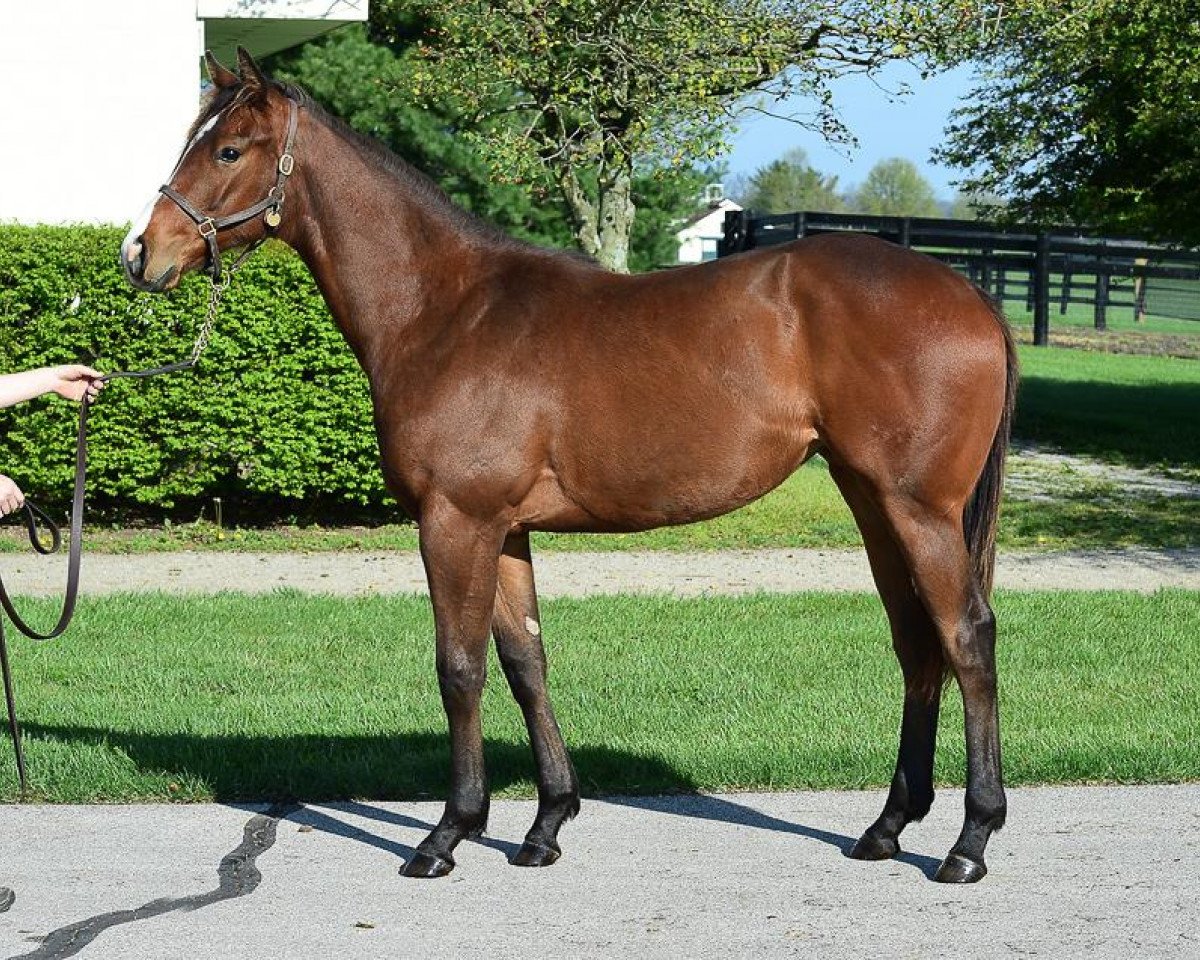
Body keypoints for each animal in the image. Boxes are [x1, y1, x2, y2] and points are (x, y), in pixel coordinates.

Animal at [121, 49, 1018, 884]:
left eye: (228, 149)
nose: (141, 254)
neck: (445, 310)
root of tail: (970, 295)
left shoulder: (455, 522)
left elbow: (459, 669)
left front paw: (447, 835)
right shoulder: (505, 529)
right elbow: (526, 663)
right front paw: (546, 824)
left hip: (918, 510)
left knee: (966, 638)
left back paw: (970, 841)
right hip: (873, 503)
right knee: (916, 642)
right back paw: (888, 826)